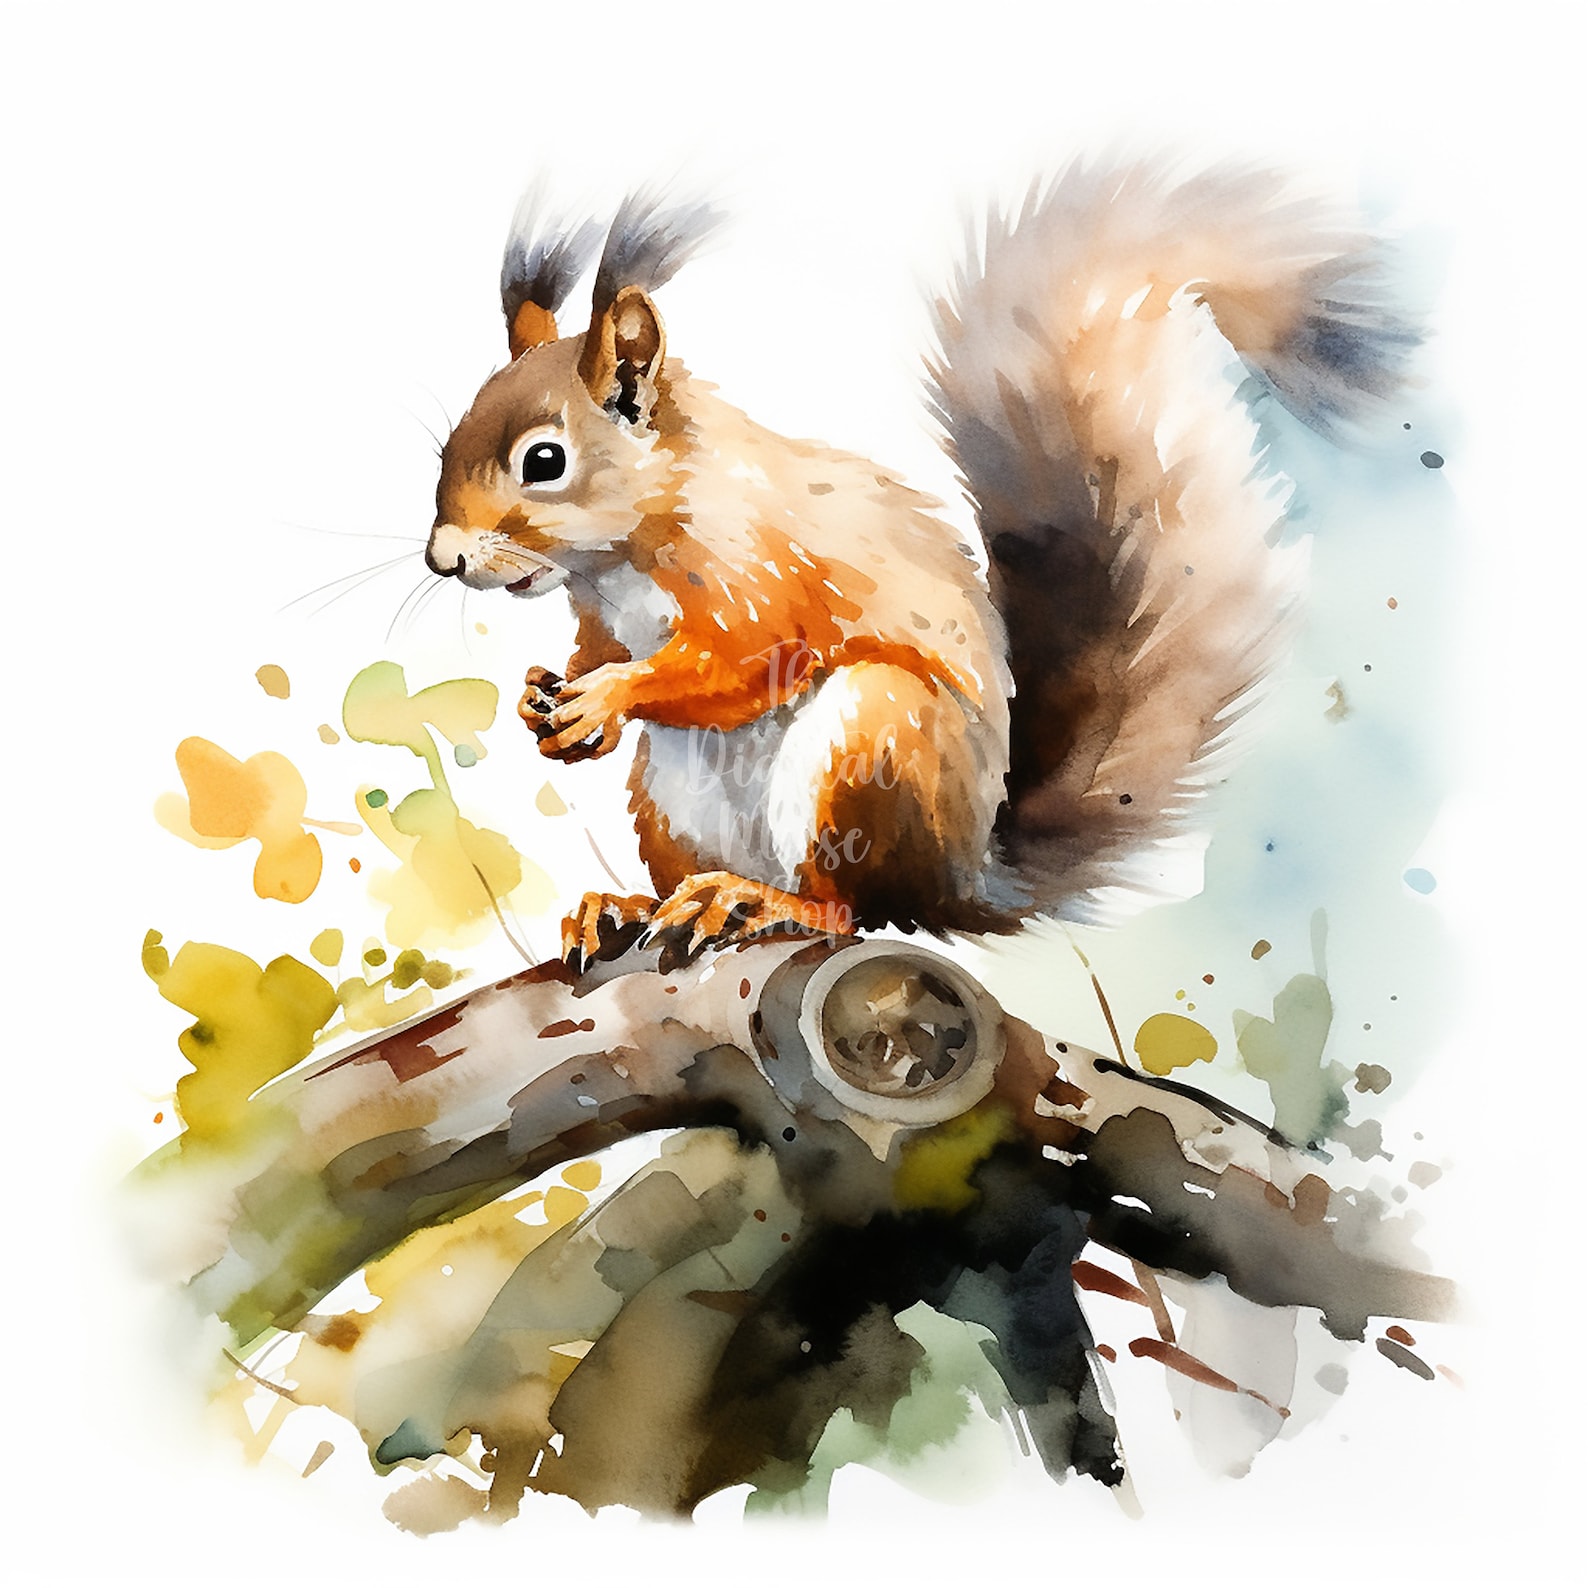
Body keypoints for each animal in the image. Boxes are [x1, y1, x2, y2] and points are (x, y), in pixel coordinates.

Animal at [423, 166, 1414, 965]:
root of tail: (964, 878)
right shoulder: (600, 617)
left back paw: (759, 902)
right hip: (669, 801)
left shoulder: (760, 574)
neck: (623, 555)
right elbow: (595, 656)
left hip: (877, 741)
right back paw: (631, 907)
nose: (443, 559)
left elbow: (742, 660)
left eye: (544, 461)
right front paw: (549, 706)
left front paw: (608, 698)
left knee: (852, 909)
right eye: (451, 439)